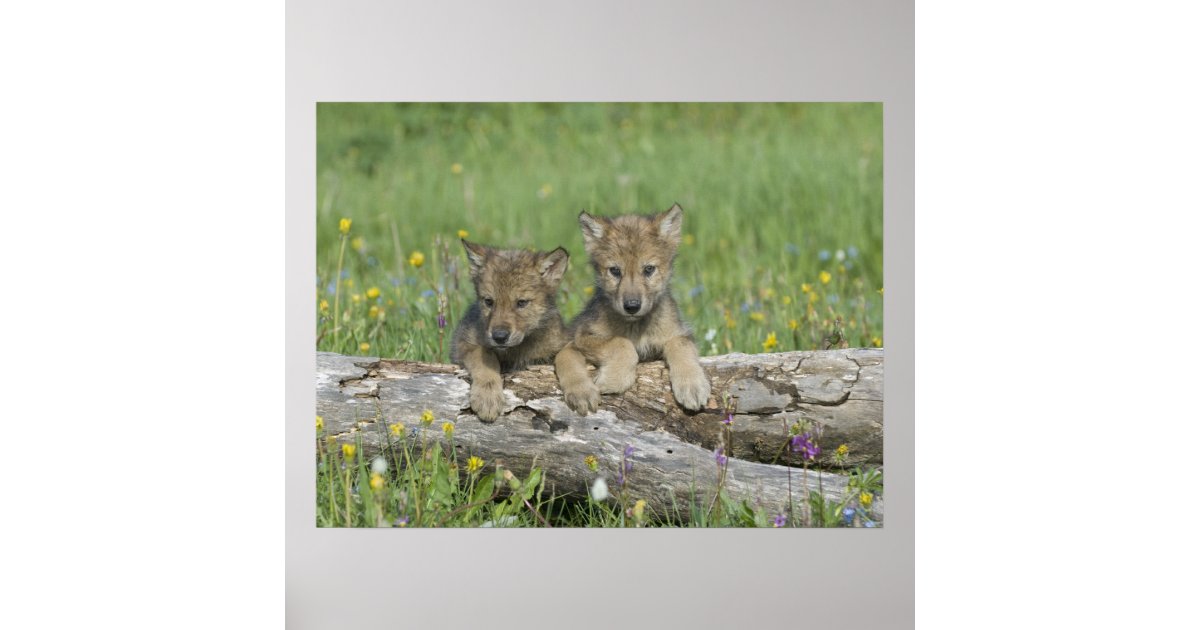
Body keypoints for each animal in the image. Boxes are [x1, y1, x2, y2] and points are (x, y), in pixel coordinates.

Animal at [451, 241, 570, 420]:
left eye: (521, 302)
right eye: (489, 301)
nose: (499, 337)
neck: (514, 351)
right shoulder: (464, 343)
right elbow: (485, 358)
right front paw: (487, 398)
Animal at [555, 203, 711, 415]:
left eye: (648, 269)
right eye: (615, 271)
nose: (631, 306)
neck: (636, 327)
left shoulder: (678, 333)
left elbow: (680, 345)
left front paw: (692, 386)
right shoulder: (583, 336)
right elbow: (622, 343)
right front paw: (614, 379)